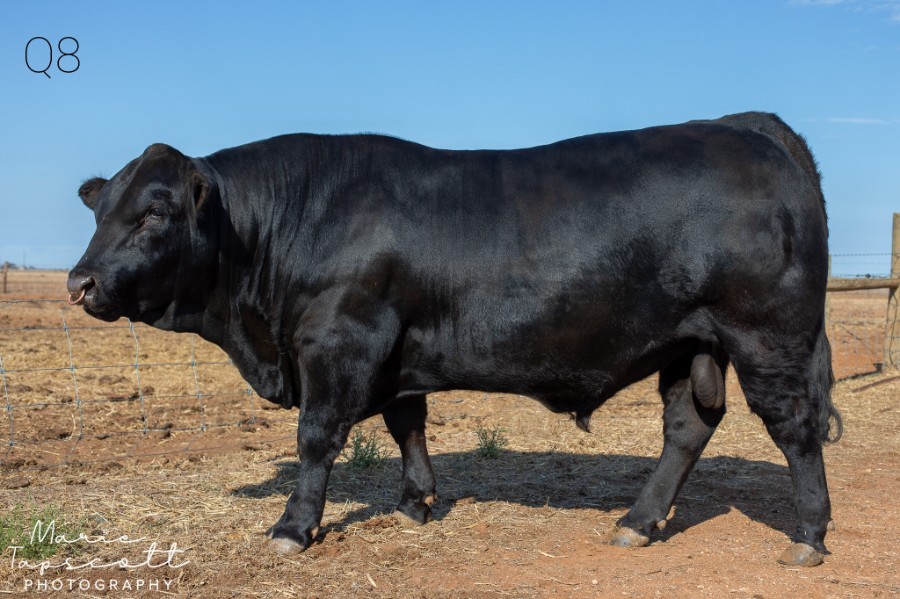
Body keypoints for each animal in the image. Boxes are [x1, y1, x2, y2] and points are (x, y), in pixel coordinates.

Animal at [68, 112, 842, 567]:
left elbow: (316, 438)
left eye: (155, 211)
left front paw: (293, 526)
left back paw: (808, 537)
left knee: (794, 426)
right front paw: (417, 502)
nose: (79, 282)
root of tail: (749, 127)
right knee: (687, 427)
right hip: (686, 343)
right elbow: (407, 421)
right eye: (100, 210)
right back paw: (637, 519)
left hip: (767, 335)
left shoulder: (339, 340)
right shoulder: (396, 352)